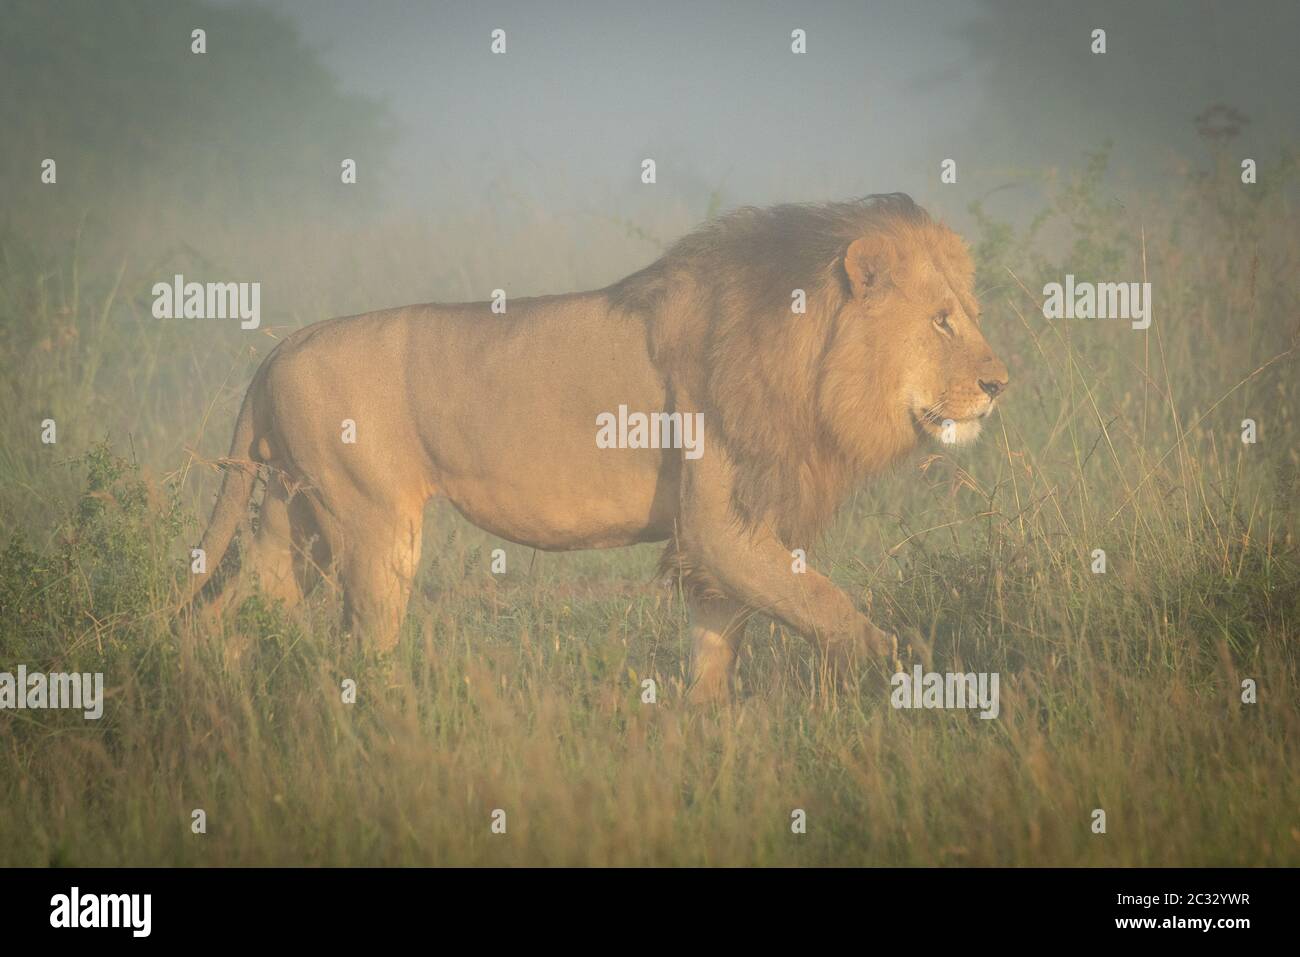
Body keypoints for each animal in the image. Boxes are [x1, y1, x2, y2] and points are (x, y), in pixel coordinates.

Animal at [190, 194, 1008, 702]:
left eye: (969, 313)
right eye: (941, 320)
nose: (1000, 383)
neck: (807, 356)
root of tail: (276, 352)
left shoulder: (729, 535)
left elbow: (720, 640)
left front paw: (701, 729)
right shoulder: (717, 526)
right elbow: (834, 612)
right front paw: (915, 685)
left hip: (291, 518)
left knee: (227, 613)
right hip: (371, 524)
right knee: (365, 648)